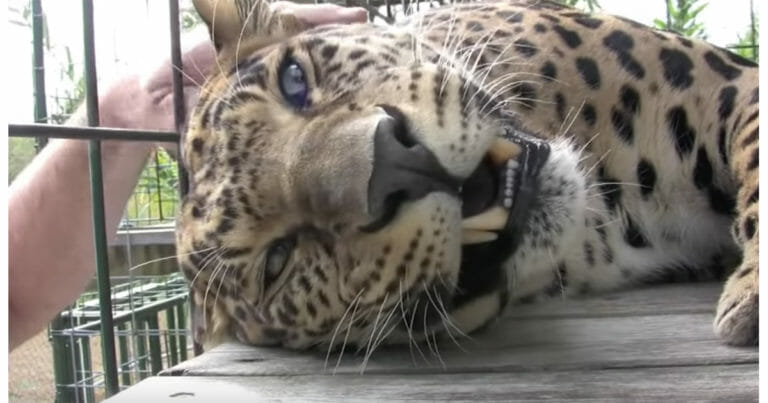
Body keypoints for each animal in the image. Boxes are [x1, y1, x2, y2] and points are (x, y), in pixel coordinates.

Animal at [176, 0, 759, 354]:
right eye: (276, 262)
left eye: (294, 80)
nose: (392, 164)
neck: (605, 226)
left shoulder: (728, 84)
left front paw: (751, 293)